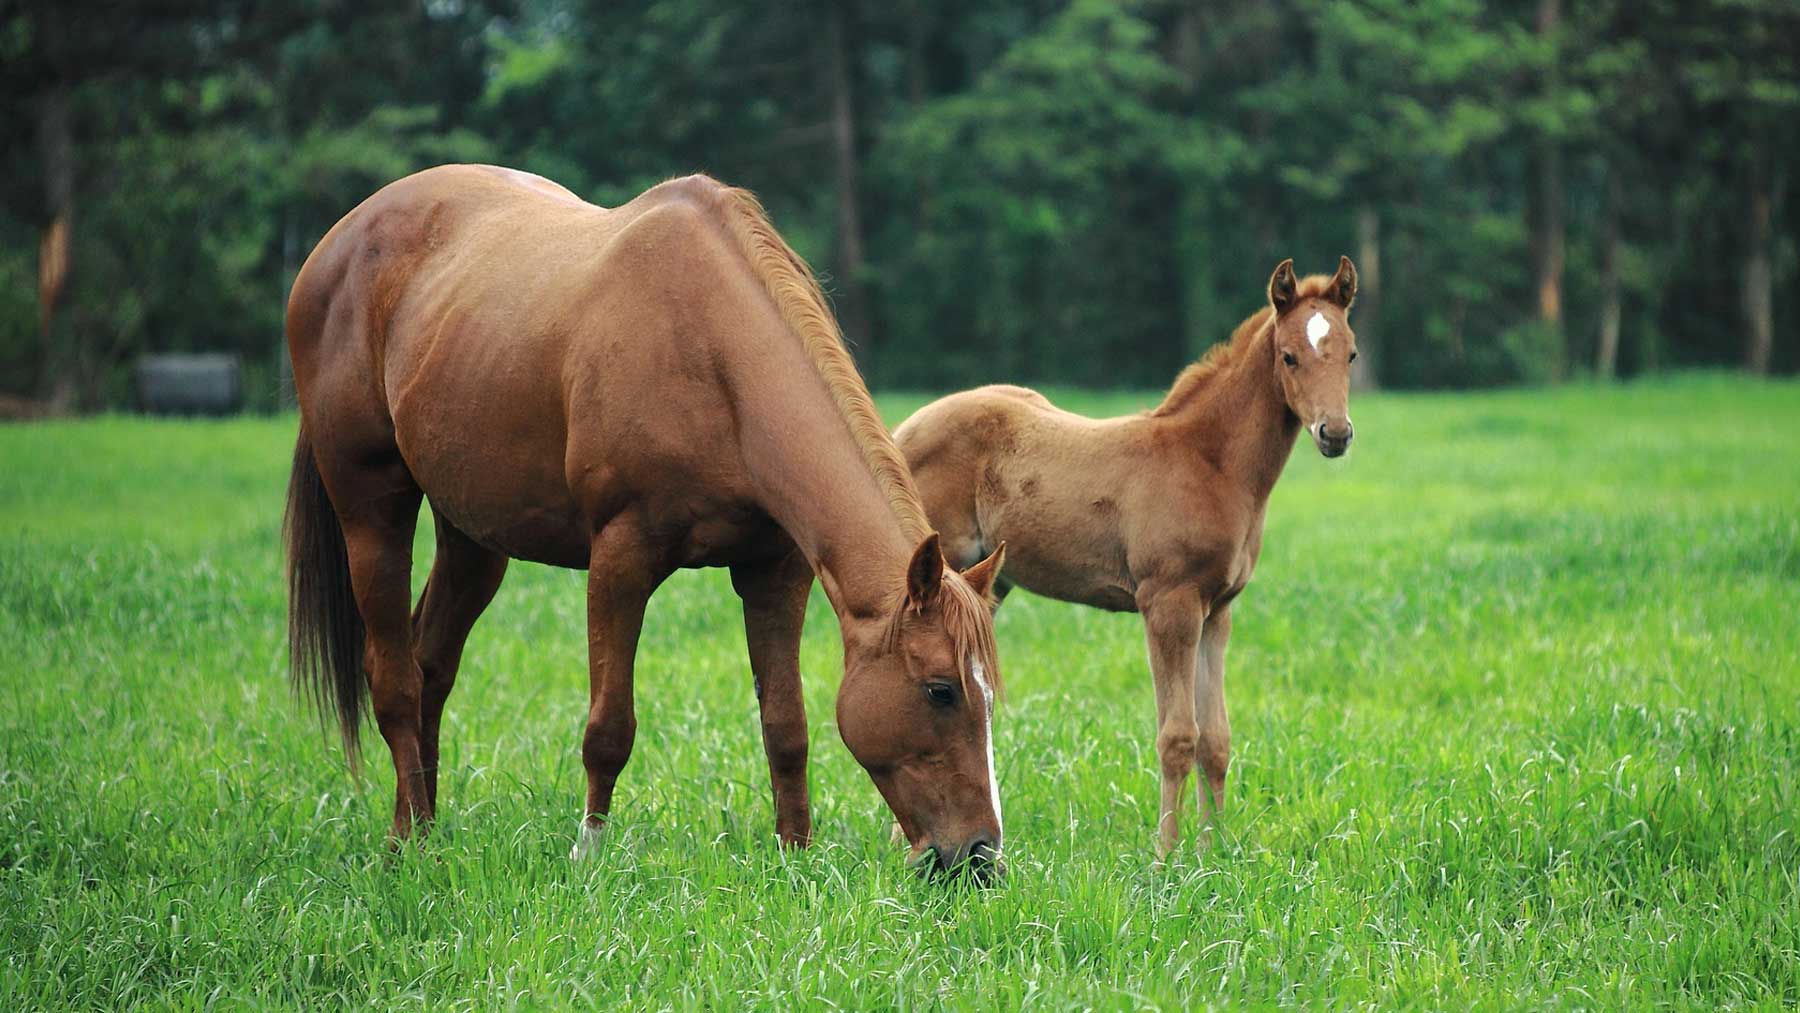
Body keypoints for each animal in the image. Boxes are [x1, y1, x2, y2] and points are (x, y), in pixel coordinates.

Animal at [283, 165, 1009, 880]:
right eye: (941, 690)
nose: (980, 857)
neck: (712, 357)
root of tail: (338, 244)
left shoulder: (774, 571)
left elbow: (786, 724)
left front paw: (795, 855)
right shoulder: (620, 559)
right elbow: (609, 728)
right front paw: (589, 855)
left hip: (473, 536)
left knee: (432, 666)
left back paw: (431, 833)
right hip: (371, 508)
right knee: (395, 680)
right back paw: (406, 845)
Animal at [894, 257, 1358, 857]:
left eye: (1351, 353)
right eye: (1289, 356)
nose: (1335, 433)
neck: (1208, 463)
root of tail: (903, 430)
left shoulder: (1218, 611)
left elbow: (1216, 738)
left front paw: (1213, 853)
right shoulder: (1169, 605)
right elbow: (1177, 736)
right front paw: (1165, 857)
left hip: (985, 587)